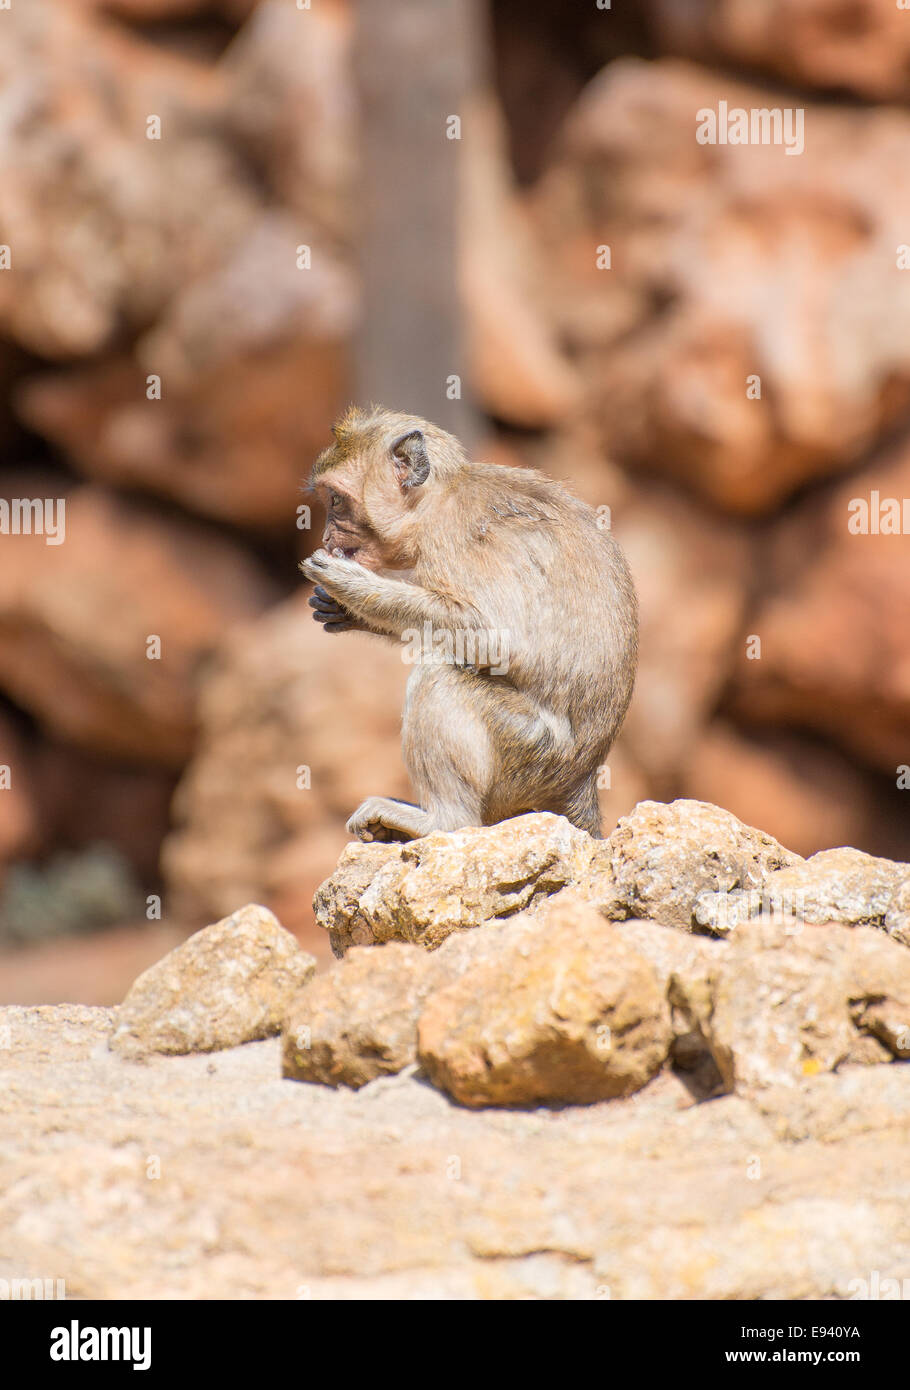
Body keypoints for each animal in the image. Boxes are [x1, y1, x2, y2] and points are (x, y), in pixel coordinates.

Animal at [300, 405, 638, 844]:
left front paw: (352, 586)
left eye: (337, 501)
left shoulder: (452, 540)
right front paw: (344, 608)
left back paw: (441, 820)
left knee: (441, 675)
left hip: (531, 752)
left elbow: (494, 638)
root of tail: (582, 780)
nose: (326, 535)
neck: (437, 501)